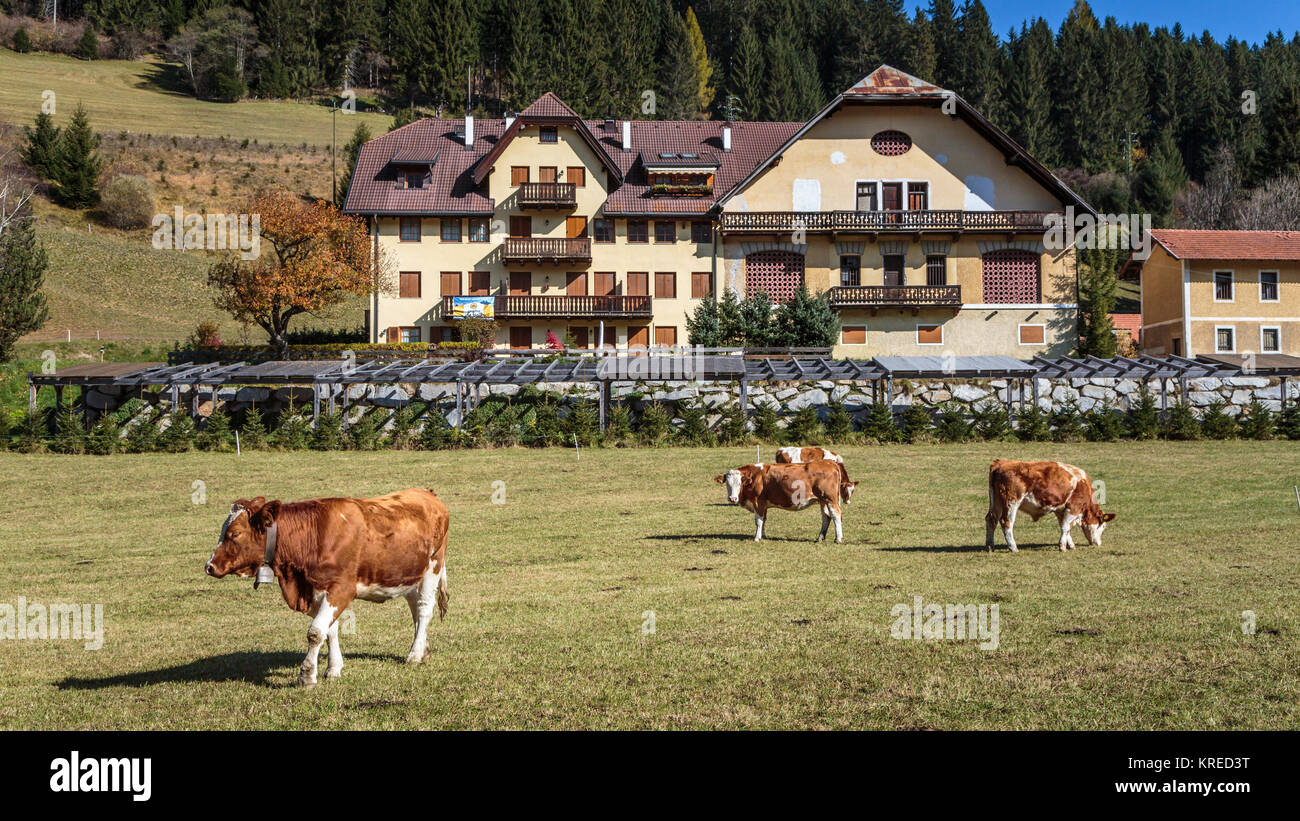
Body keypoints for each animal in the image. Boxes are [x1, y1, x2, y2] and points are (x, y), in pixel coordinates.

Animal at [205, 489, 449, 686]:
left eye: (234, 533)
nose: (209, 566)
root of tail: (427, 494)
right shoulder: (318, 591)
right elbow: (330, 630)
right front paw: (333, 668)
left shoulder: (342, 589)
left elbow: (315, 632)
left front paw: (306, 675)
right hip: (407, 575)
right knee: (415, 608)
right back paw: (423, 648)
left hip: (433, 565)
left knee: (424, 609)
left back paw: (415, 654)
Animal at [715, 461, 852, 543]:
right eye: (727, 483)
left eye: (739, 483)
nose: (732, 498)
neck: (755, 477)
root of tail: (830, 462)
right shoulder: (764, 504)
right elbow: (764, 520)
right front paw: (763, 535)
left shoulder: (759, 502)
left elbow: (758, 521)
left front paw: (757, 537)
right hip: (822, 500)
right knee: (826, 517)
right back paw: (820, 537)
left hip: (830, 499)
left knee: (836, 515)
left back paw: (838, 538)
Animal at [985, 460, 1116, 553]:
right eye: (1103, 526)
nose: (1099, 543)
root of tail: (1001, 463)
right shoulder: (1073, 508)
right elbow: (1066, 527)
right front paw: (1062, 547)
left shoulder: (1061, 510)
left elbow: (1066, 527)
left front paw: (1070, 545)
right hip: (1011, 502)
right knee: (1006, 522)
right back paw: (1013, 547)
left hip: (996, 502)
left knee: (991, 520)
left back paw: (990, 546)